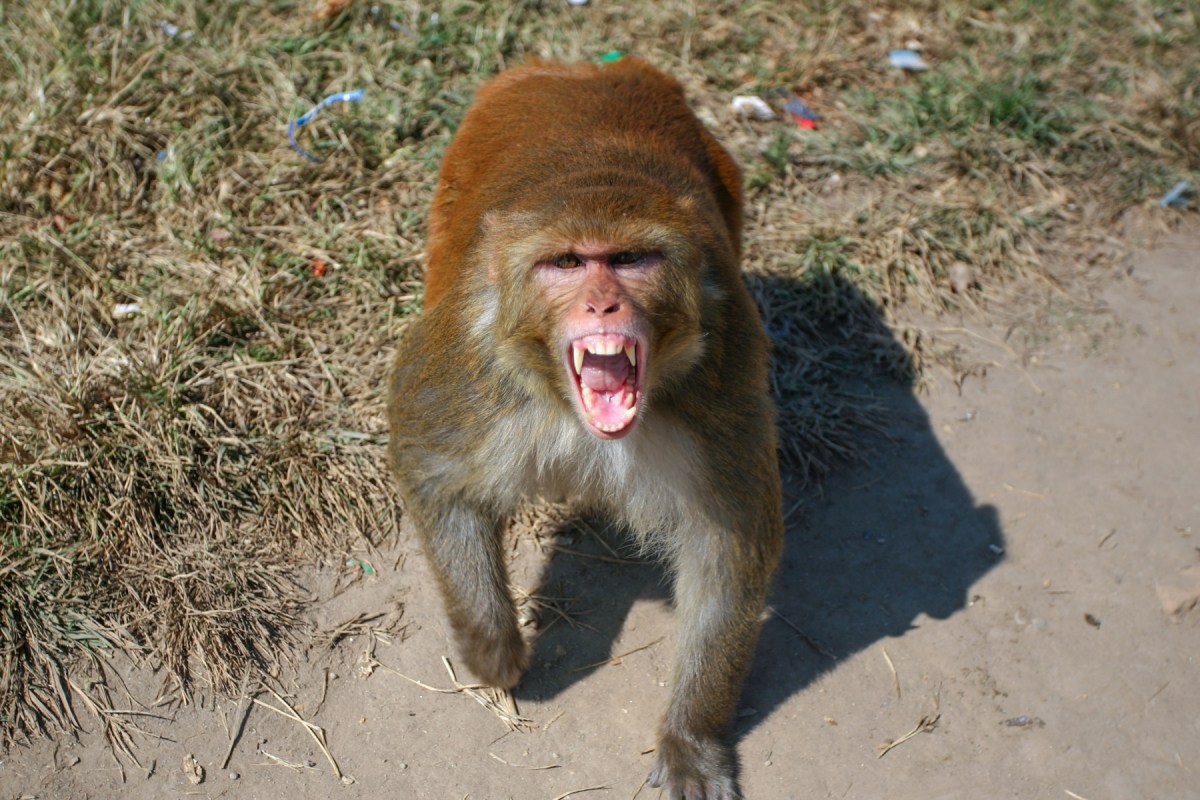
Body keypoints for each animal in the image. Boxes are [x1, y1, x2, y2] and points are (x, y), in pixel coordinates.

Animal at [386, 58, 783, 799]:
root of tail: (584, 70)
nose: (604, 303)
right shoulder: (472, 365)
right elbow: (432, 472)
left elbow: (726, 548)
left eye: (629, 260)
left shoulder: (724, 376)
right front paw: (491, 645)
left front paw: (691, 739)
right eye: (568, 263)